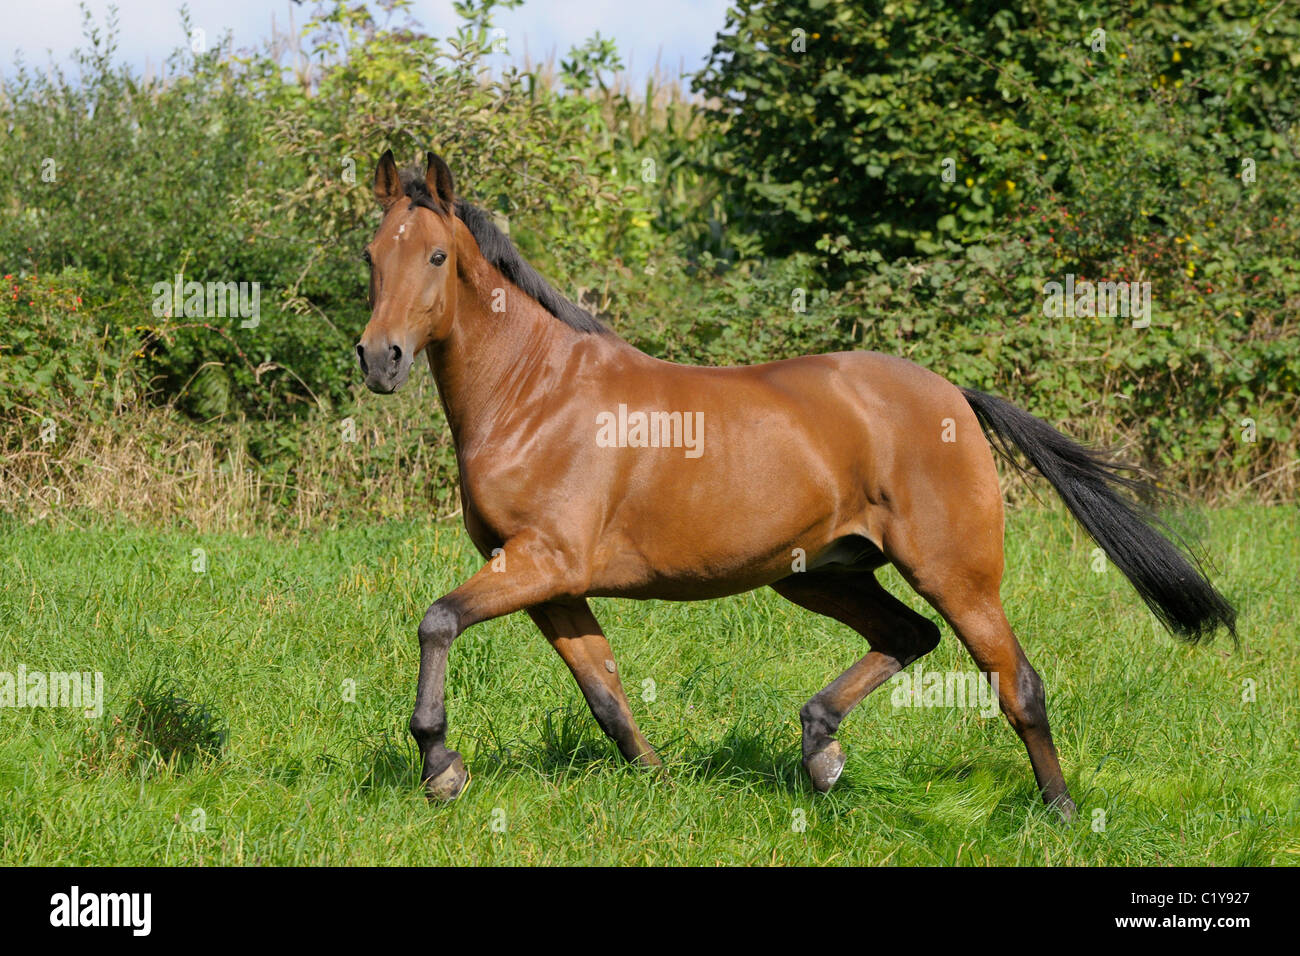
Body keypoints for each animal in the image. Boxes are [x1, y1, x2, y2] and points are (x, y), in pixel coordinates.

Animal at [355, 150, 1236, 818]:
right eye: (371, 256)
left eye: (435, 256)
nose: (379, 360)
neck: (534, 394)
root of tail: (955, 397)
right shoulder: (551, 581)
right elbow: (603, 690)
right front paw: (659, 783)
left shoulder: (542, 561)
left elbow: (438, 620)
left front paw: (439, 765)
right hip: (820, 573)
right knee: (908, 636)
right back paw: (820, 750)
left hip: (955, 573)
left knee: (1015, 681)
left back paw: (1057, 814)